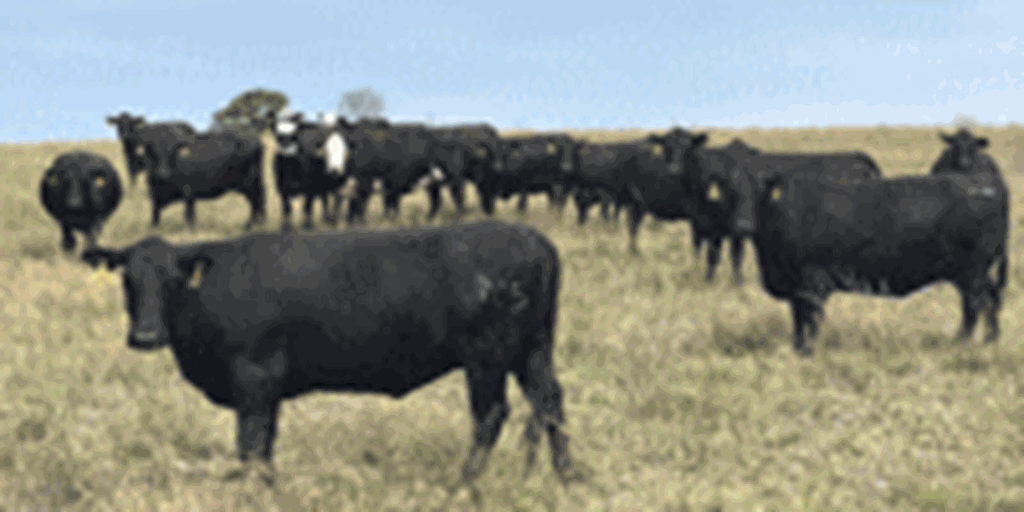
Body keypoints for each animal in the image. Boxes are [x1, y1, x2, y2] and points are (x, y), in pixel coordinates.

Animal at [80, 221, 580, 491]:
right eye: (127, 278)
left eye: (171, 280)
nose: (145, 336)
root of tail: (533, 239)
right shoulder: (266, 386)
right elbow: (266, 442)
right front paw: (269, 485)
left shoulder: (253, 377)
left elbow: (250, 441)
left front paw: (253, 489)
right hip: (532, 351)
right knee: (551, 402)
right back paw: (566, 476)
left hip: (487, 358)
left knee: (491, 414)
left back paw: (462, 485)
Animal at [748, 154, 1008, 357]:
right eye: (735, 189)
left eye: (761, 191)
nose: (744, 223)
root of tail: (984, 181)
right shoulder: (797, 289)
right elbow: (798, 322)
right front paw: (797, 349)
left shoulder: (812, 284)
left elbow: (809, 321)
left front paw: (806, 352)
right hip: (974, 274)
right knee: (990, 298)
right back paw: (989, 340)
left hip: (972, 274)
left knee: (974, 305)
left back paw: (961, 343)